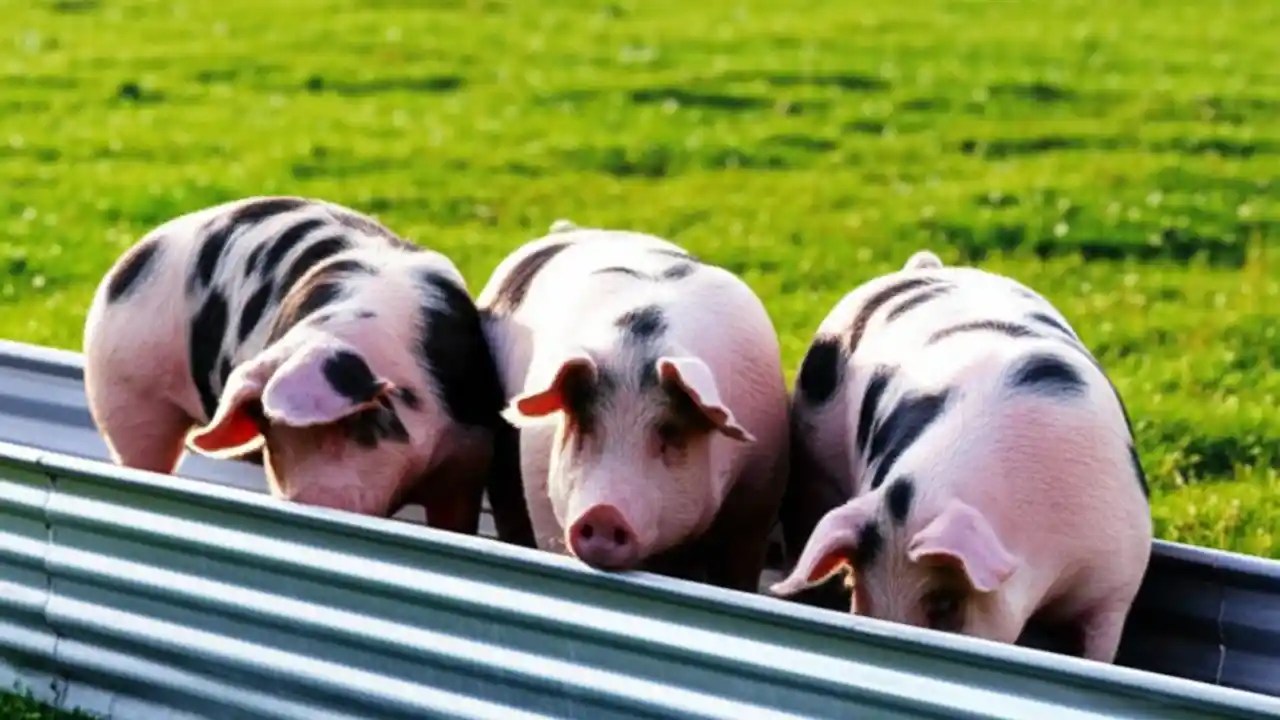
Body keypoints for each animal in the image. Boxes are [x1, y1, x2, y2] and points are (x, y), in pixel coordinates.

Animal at [82, 195, 510, 534]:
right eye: (268, 430)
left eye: (360, 424)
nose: (307, 502)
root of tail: (128, 262)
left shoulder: (469, 453)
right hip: (126, 395)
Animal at [772, 250, 1152, 663]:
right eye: (859, 592)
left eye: (945, 604)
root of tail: (927, 268)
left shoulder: (1116, 585)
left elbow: (1099, 647)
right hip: (814, 457)